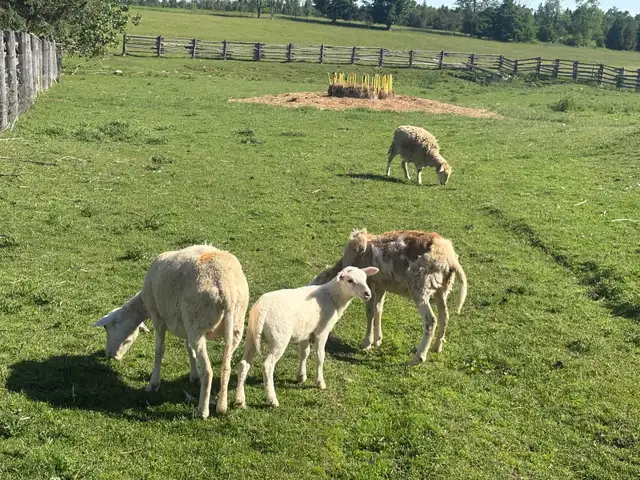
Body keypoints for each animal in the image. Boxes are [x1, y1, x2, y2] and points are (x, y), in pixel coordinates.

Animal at [92, 245, 249, 418]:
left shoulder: (158, 318)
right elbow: (189, 350)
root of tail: (226, 290)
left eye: (107, 328)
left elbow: (159, 351)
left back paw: (202, 410)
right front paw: (194, 375)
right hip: (233, 327)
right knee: (226, 367)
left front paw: (153, 384)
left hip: (198, 322)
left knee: (208, 371)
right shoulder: (186, 325)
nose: (109, 355)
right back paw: (223, 406)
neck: (143, 304)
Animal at [235, 265, 379, 408]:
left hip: (251, 335)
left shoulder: (305, 332)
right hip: (279, 338)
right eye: (350, 280)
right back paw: (272, 399)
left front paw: (301, 376)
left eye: (365, 278)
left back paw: (240, 399)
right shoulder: (322, 331)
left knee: (244, 364)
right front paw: (320, 383)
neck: (333, 297)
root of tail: (262, 311)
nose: (368, 293)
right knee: (267, 366)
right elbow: (320, 357)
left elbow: (304, 353)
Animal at [310, 229, 467, 365]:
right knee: (444, 315)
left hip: (420, 285)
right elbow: (378, 309)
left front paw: (366, 343)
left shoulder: (369, 284)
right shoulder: (380, 285)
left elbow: (370, 312)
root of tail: (450, 257)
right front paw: (377, 339)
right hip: (442, 288)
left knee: (431, 320)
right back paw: (437, 346)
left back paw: (419, 356)